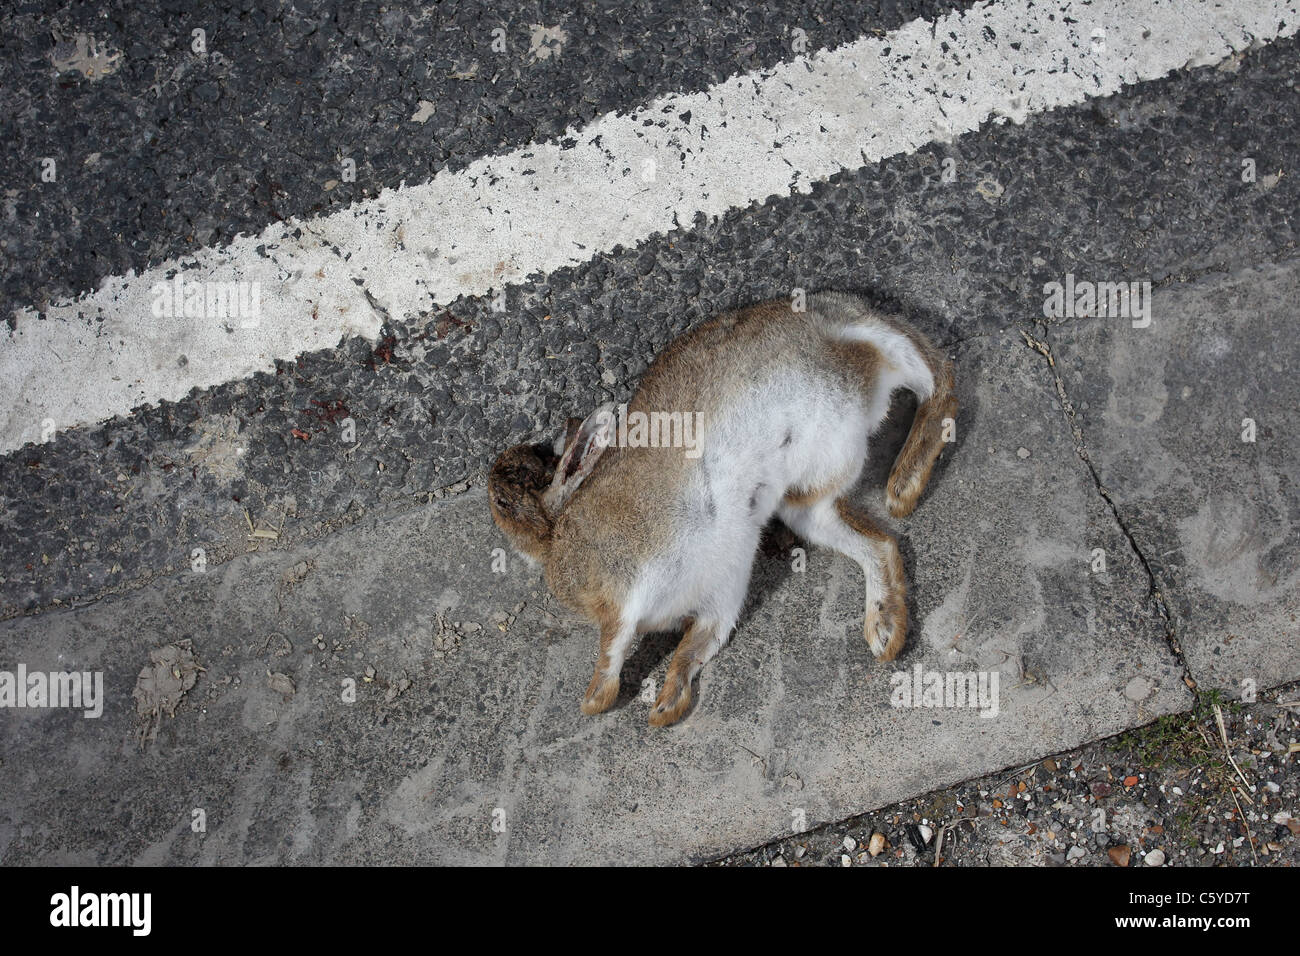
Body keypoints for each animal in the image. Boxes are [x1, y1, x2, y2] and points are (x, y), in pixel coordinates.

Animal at [488, 292, 956, 726]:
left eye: (504, 501)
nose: (499, 474)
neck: (557, 531)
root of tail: (837, 315)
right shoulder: (721, 593)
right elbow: (698, 644)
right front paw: (666, 707)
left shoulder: (623, 596)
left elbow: (612, 655)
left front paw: (596, 700)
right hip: (804, 502)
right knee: (879, 545)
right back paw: (886, 627)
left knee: (940, 377)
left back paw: (901, 489)